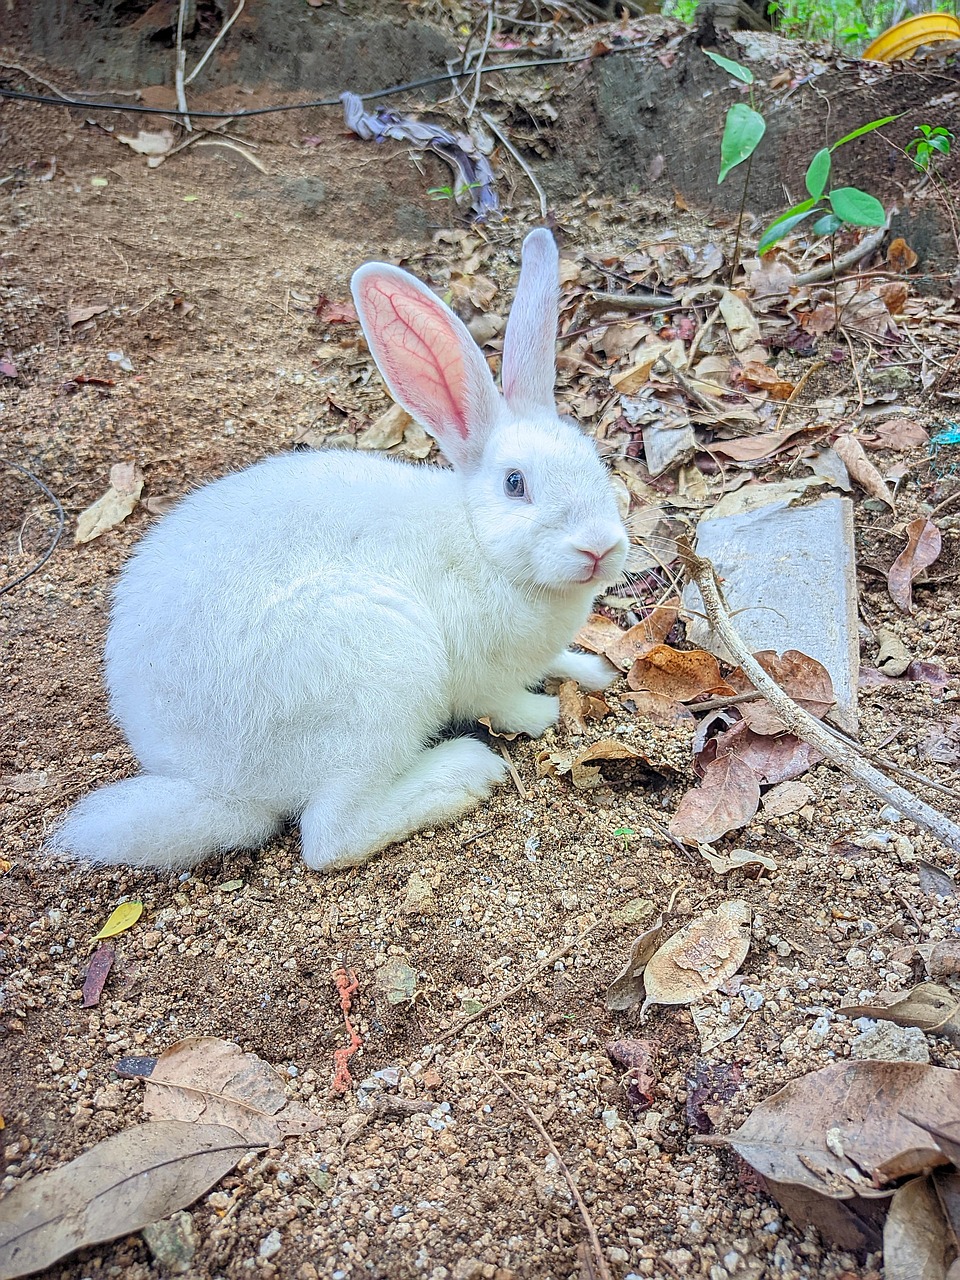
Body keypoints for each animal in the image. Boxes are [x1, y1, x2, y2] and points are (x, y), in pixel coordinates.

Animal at [51, 228, 629, 873]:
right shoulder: (482, 676)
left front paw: (596, 670)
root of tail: (219, 788)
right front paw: (540, 715)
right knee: (332, 834)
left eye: (598, 462)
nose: (600, 547)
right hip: (379, 678)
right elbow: (504, 703)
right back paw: (464, 774)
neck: (482, 546)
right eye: (515, 483)